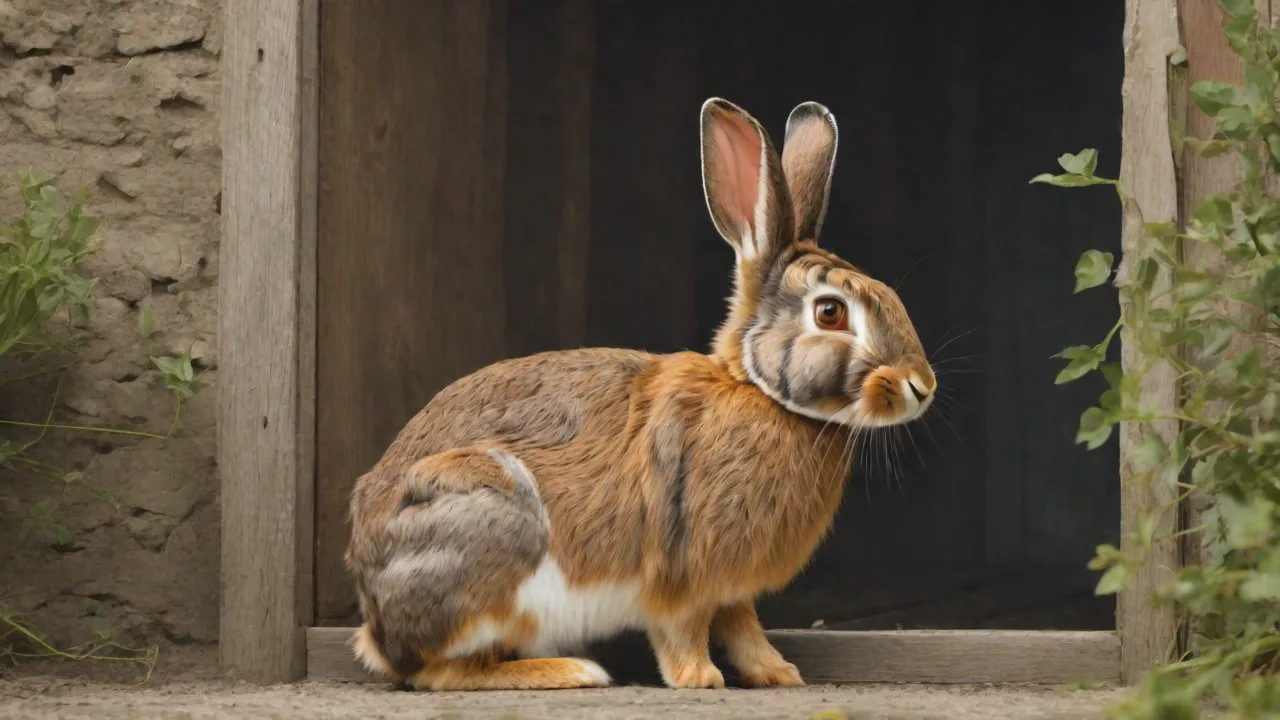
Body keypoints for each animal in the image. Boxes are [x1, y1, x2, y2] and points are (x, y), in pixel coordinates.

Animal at [344, 97, 937, 692]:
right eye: (830, 312)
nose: (922, 387)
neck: (758, 392)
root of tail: (375, 620)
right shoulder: (684, 576)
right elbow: (684, 628)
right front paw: (701, 679)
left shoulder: (732, 590)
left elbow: (744, 626)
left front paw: (778, 673)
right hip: (493, 524)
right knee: (445, 672)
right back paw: (572, 670)